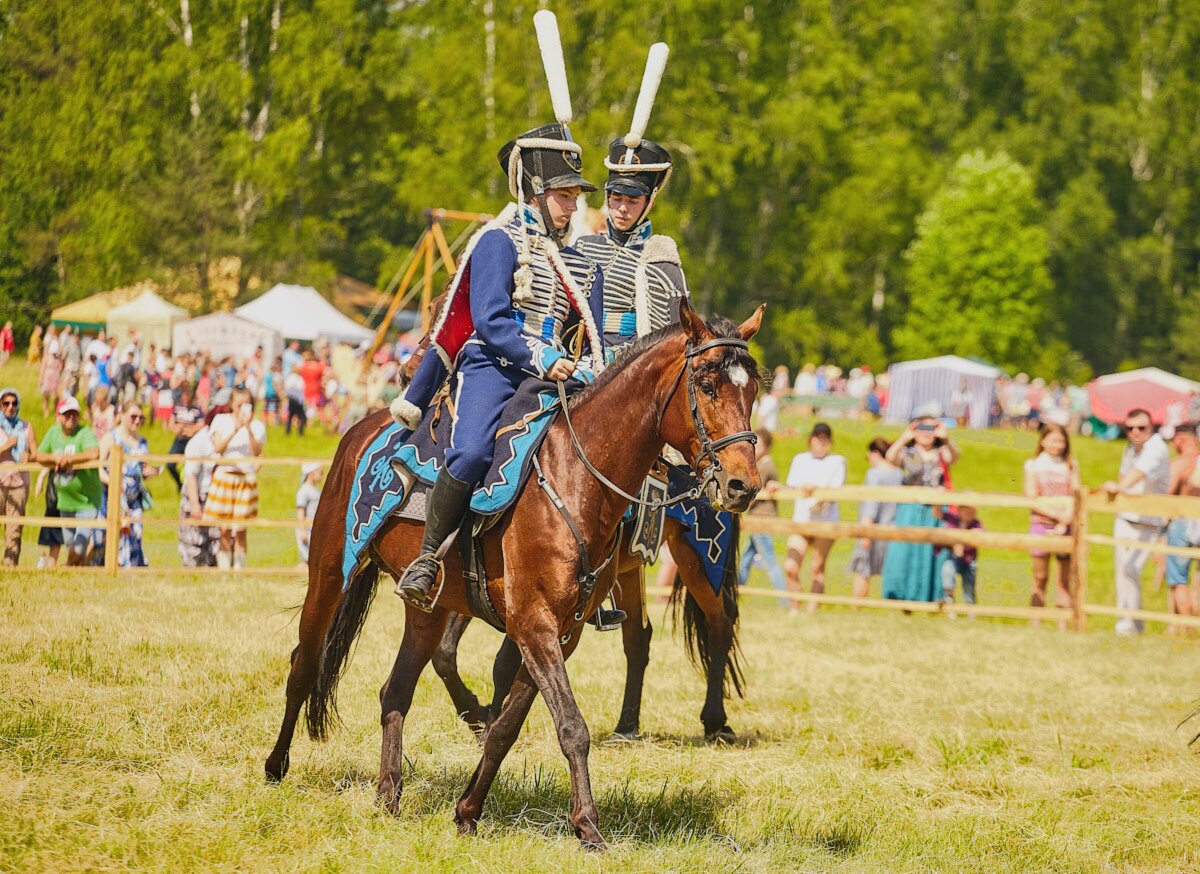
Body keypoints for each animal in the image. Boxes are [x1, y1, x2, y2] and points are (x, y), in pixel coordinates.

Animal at [267, 300, 763, 845]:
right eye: (707, 383)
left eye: (753, 390)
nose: (742, 484)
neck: (575, 474)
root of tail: (361, 429)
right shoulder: (532, 621)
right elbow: (570, 725)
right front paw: (588, 827)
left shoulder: (559, 631)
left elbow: (509, 724)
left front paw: (468, 810)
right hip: (330, 575)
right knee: (305, 664)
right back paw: (277, 766)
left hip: (444, 606)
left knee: (396, 690)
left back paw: (388, 794)